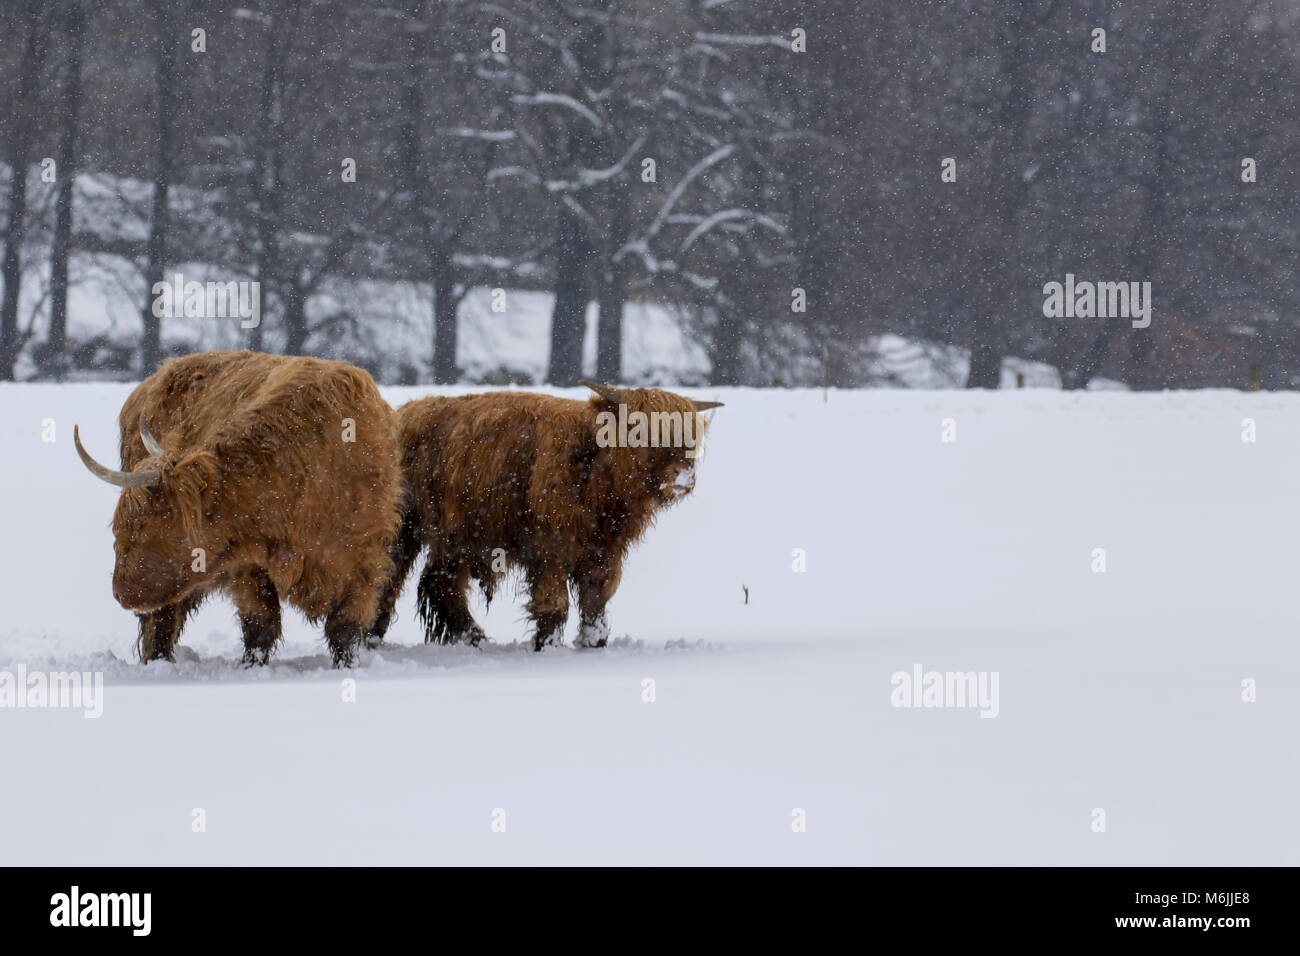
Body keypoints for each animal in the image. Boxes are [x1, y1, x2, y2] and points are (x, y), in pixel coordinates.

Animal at [77, 348, 400, 665]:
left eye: (140, 525)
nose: (119, 591)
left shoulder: (364, 562)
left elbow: (344, 630)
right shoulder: (249, 562)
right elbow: (260, 623)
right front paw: (251, 666)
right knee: (162, 620)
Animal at [369, 382, 722, 650]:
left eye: (691, 437)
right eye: (640, 430)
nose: (681, 474)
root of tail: (405, 413)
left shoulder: (605, 551)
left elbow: (596, 599)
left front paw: (594, 642)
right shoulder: (548, 549)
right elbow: (554, 603)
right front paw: (547, 646)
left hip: (457, 536)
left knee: (441, 584)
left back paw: (475, 640)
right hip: (405, 529)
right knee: (389, 578)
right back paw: (374, 636)